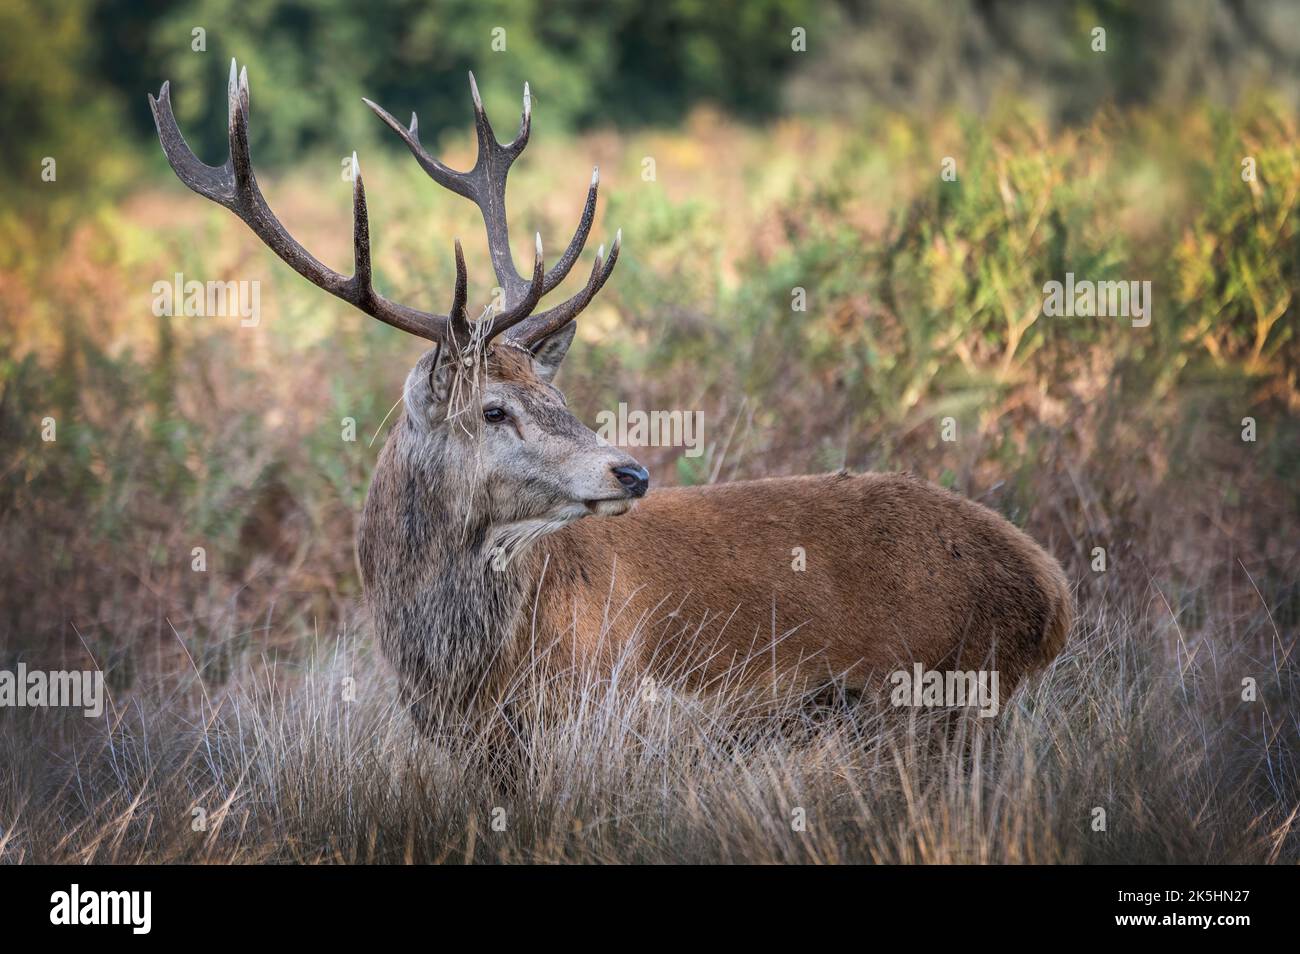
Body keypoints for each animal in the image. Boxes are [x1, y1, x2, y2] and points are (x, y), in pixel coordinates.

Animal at [150, 62, 1072, 743]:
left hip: (939, 696)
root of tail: (1054, 594)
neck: (457, 668)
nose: (631, 472)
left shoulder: (598, 711)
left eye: (557, 392)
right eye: (494, 409)